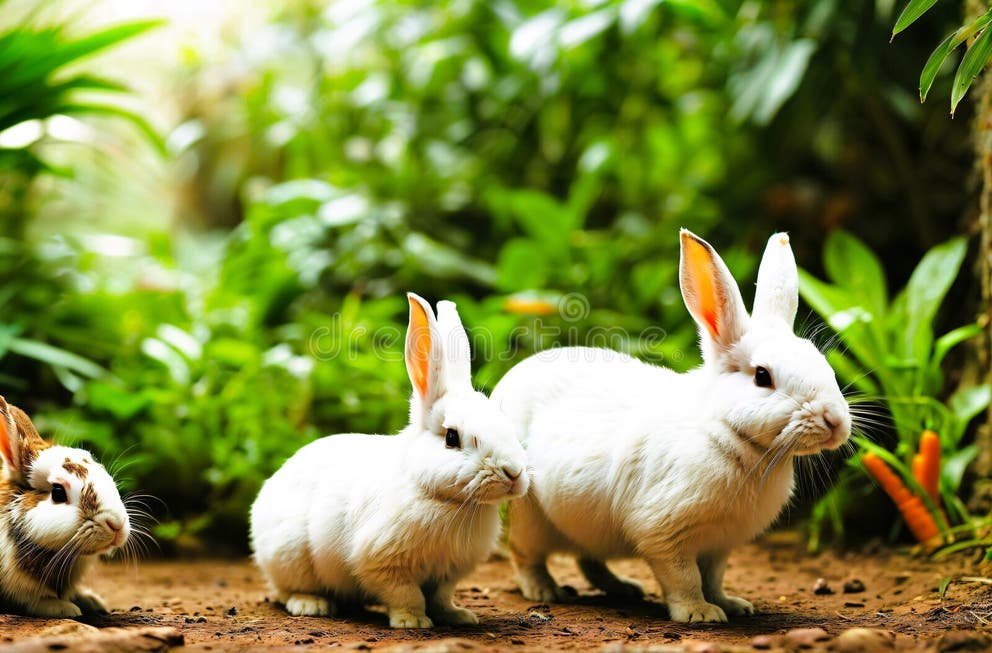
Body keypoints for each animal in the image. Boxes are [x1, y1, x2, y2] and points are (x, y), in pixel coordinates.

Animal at [250, 293, 529, 628]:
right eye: (451, 437)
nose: (514, 473)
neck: (444, 500)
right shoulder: (382, 562)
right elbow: (406, 595)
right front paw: (413, 622)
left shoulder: (447, 573)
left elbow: (440, 597)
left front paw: (458, 616)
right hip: (289, 555)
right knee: (286, 590)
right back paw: (311, 605)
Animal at [491, 230, 851, 623]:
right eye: (762, 376)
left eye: (821, 363)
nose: (835, 420)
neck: (725, 432)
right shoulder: (663, 533)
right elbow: (684, 577)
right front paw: (700, 614)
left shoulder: (719, 545)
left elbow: (713, 577)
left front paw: (731, 605)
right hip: (531, 518)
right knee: (525, 555)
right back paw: (546, 591)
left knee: (588, 561)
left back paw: (624, 588)